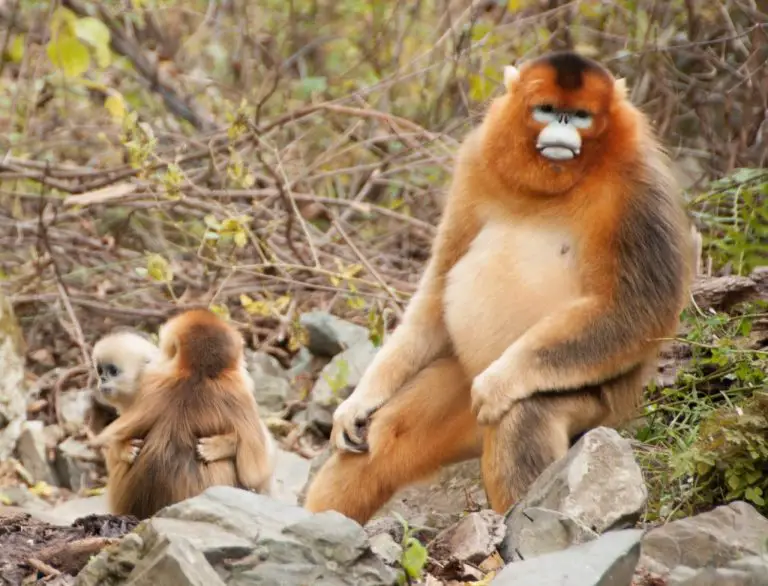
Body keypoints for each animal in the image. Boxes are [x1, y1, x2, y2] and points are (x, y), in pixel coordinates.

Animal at [304, 51, 697, 524]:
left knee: (523, 415)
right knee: (386, 435)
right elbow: (438, 283)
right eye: (546, 109)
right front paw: (359, 401)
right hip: (459, 382)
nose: (562, 124)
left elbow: (635, 309)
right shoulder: (474, 163)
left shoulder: (640, 186)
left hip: (600, 405)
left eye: (581, 115)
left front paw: (499, 383)